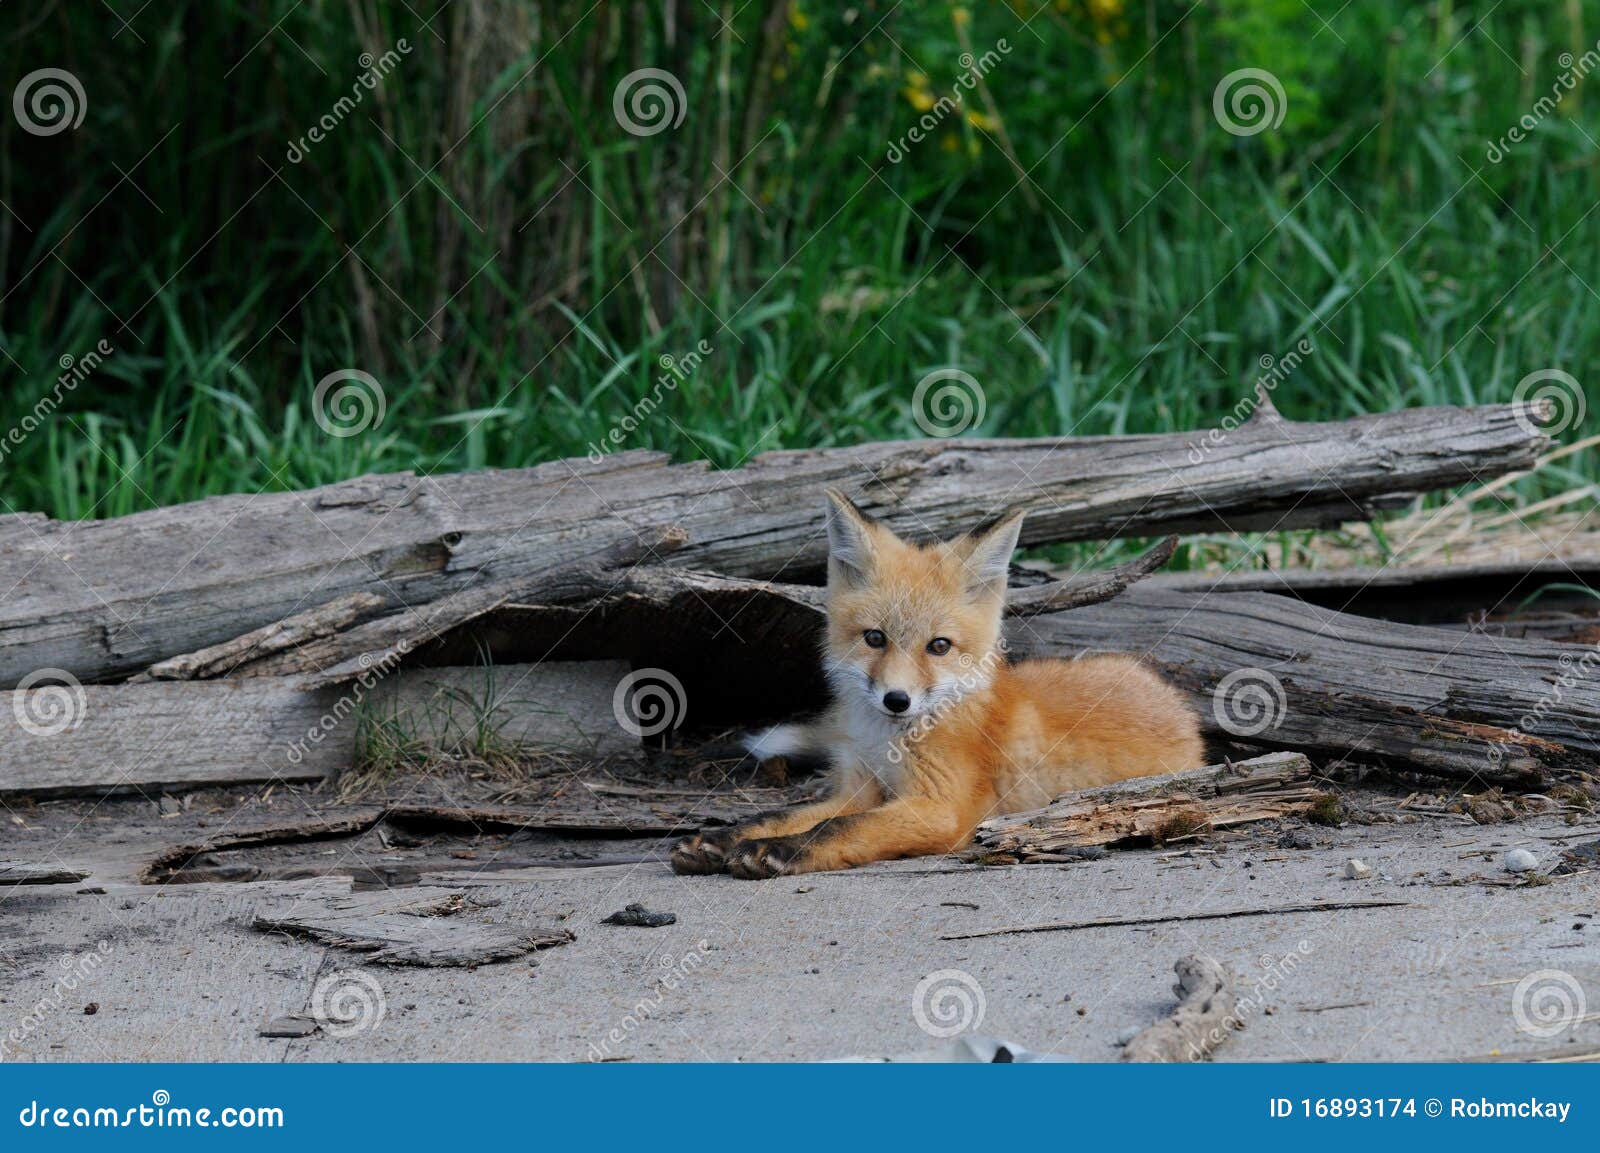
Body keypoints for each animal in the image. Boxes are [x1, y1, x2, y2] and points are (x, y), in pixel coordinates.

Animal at [671, 489, 1207, 879]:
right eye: (875, 638)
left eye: (939, 646)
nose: (897, 700)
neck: (889, 740)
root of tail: (1183, 713)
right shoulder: (859, 788)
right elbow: (788, 815)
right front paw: (723, 839)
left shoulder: (942, 807)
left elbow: (838, 828)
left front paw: (777, 852)